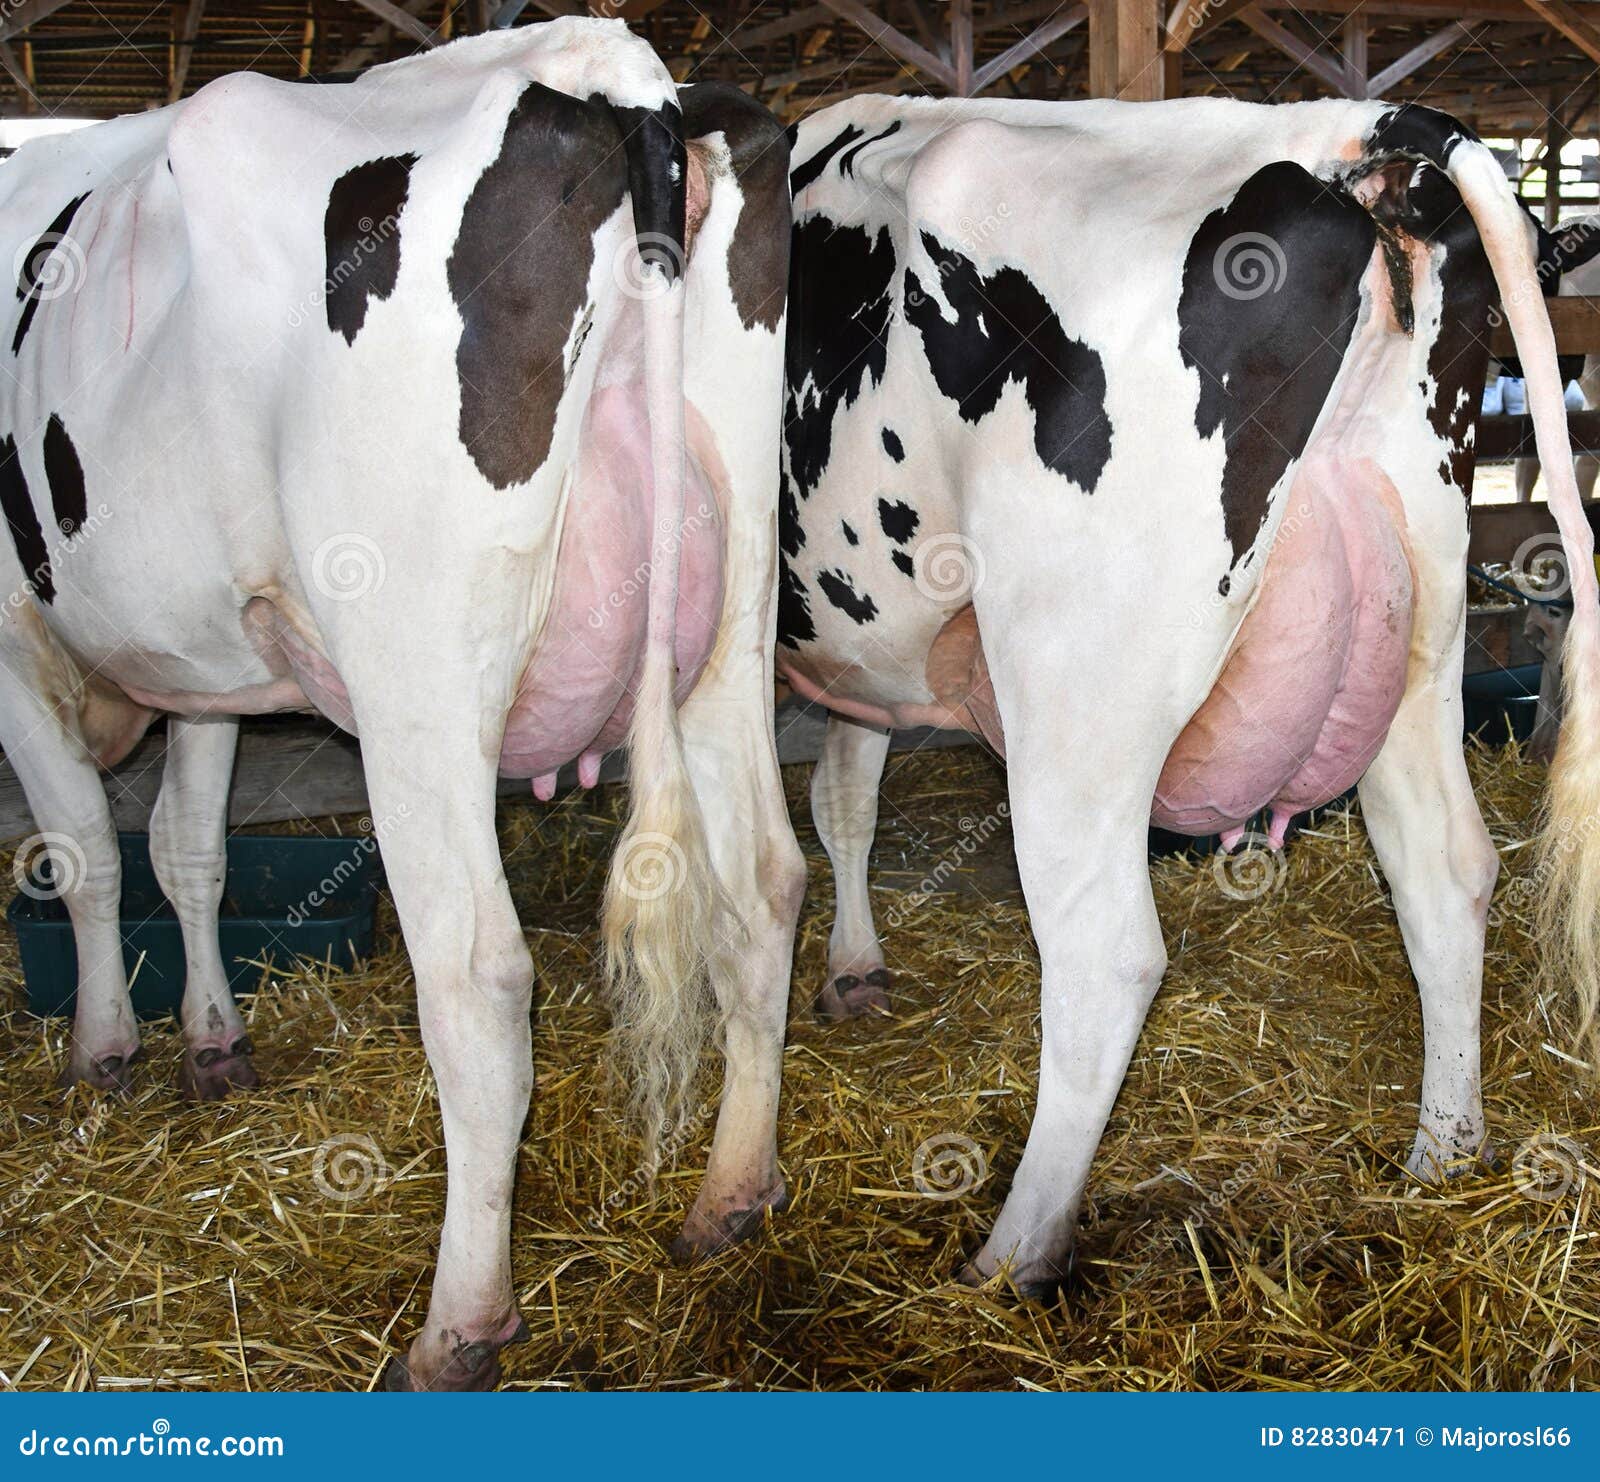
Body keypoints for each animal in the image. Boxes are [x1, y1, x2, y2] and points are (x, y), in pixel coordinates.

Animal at [0, 18, 801, 1389]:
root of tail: (604, 70)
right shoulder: (213, 660)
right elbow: (190, 847)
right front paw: (212, 1040)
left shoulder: (9, 632)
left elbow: (88, 850)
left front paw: (102, 1049)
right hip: (728, 614)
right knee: (763, 886)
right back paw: (729, 1201)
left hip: (419, 665)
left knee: (478, 973)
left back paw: (459, 1327)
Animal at [755, 96, 1600, 1294]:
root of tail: (1350, 134)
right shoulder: (861, 645)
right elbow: (845, 793)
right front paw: (855, 970)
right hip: (1418, 619)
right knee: (1447, 872)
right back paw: (1441, 1152)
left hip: (1076, 688)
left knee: (1107, 955)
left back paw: (1012, 1257)